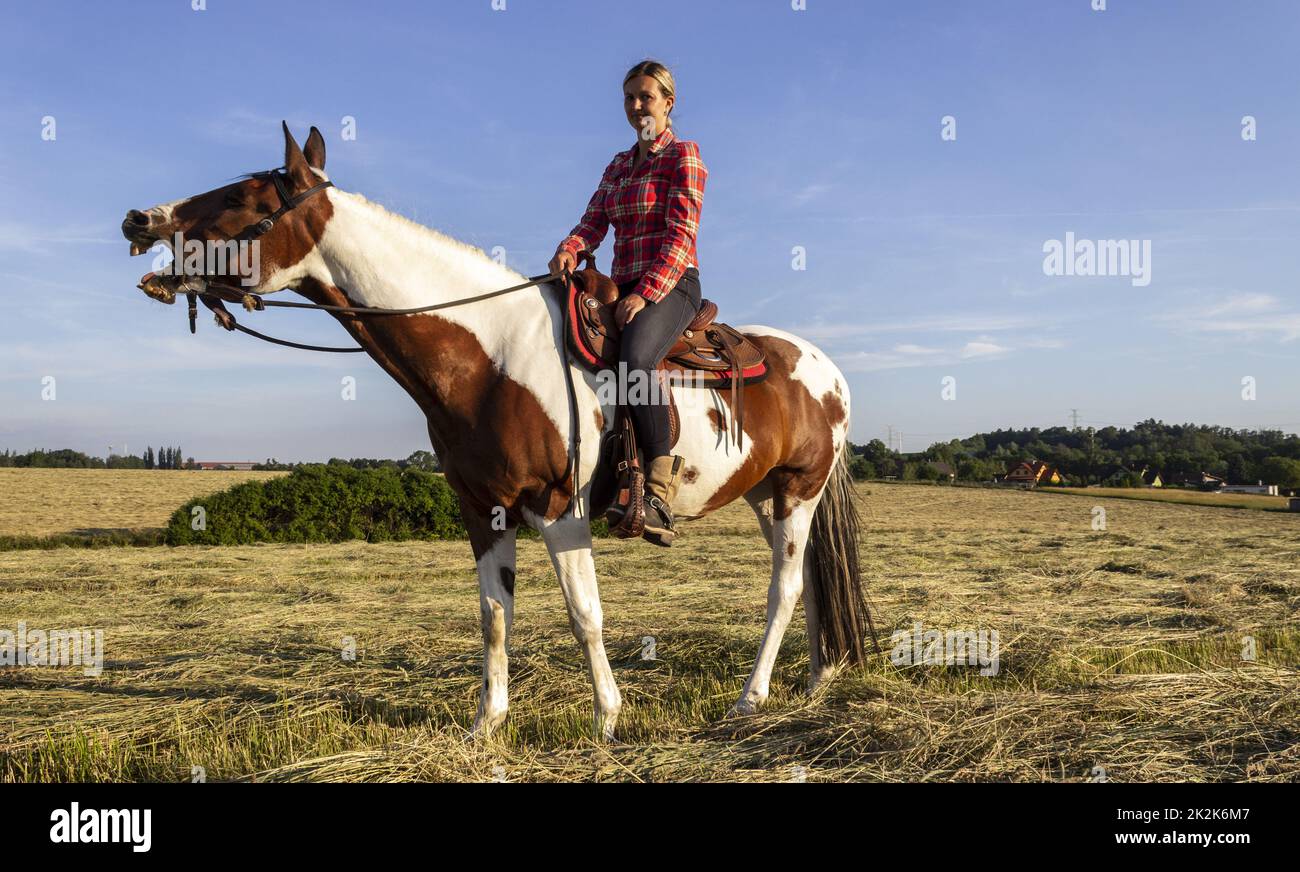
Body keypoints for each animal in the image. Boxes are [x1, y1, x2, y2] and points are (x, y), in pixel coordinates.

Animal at [121, 122, 875, 740]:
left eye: (241, 196)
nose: (139, 218)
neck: (493, 353)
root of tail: (828, 371)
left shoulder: (560, 509)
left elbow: (584, 614)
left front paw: (607, 719)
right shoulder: (481, 509)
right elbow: (493, 616)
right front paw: (488, 724)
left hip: (798, 492)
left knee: (784, 590)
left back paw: (751, 699)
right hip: (765, 497)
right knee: (808, 584)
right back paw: (814, 681)